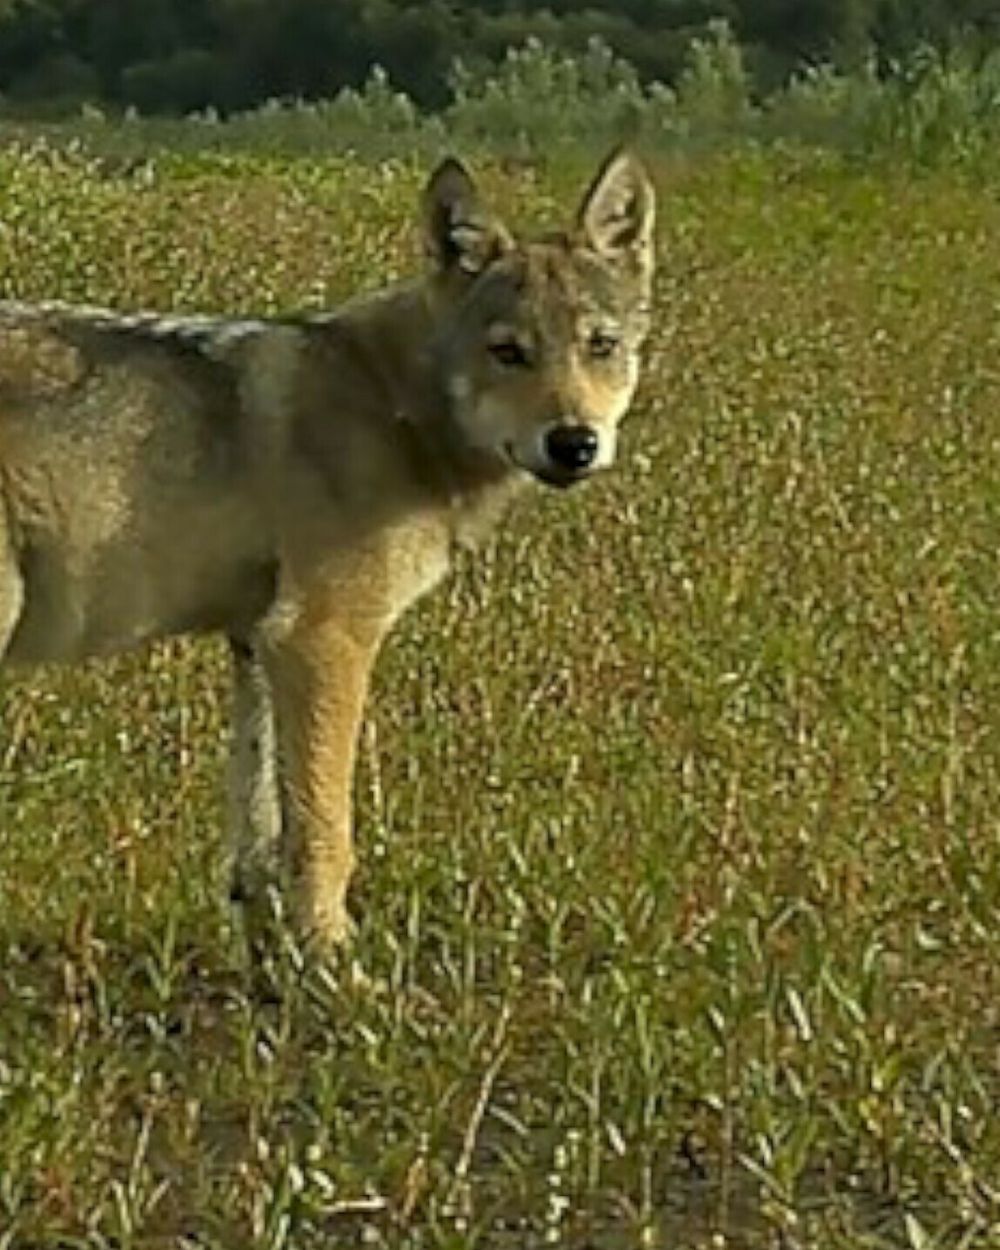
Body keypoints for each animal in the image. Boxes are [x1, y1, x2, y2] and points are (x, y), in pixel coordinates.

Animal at [0, 150, 656, 952]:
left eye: (600, 346)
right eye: (508, 353)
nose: (574, 443)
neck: (396, 407)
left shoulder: (256, 641)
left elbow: (261, 833)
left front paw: (270, 955)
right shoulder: (323, 637)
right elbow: (325, 832)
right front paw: (336, 960)